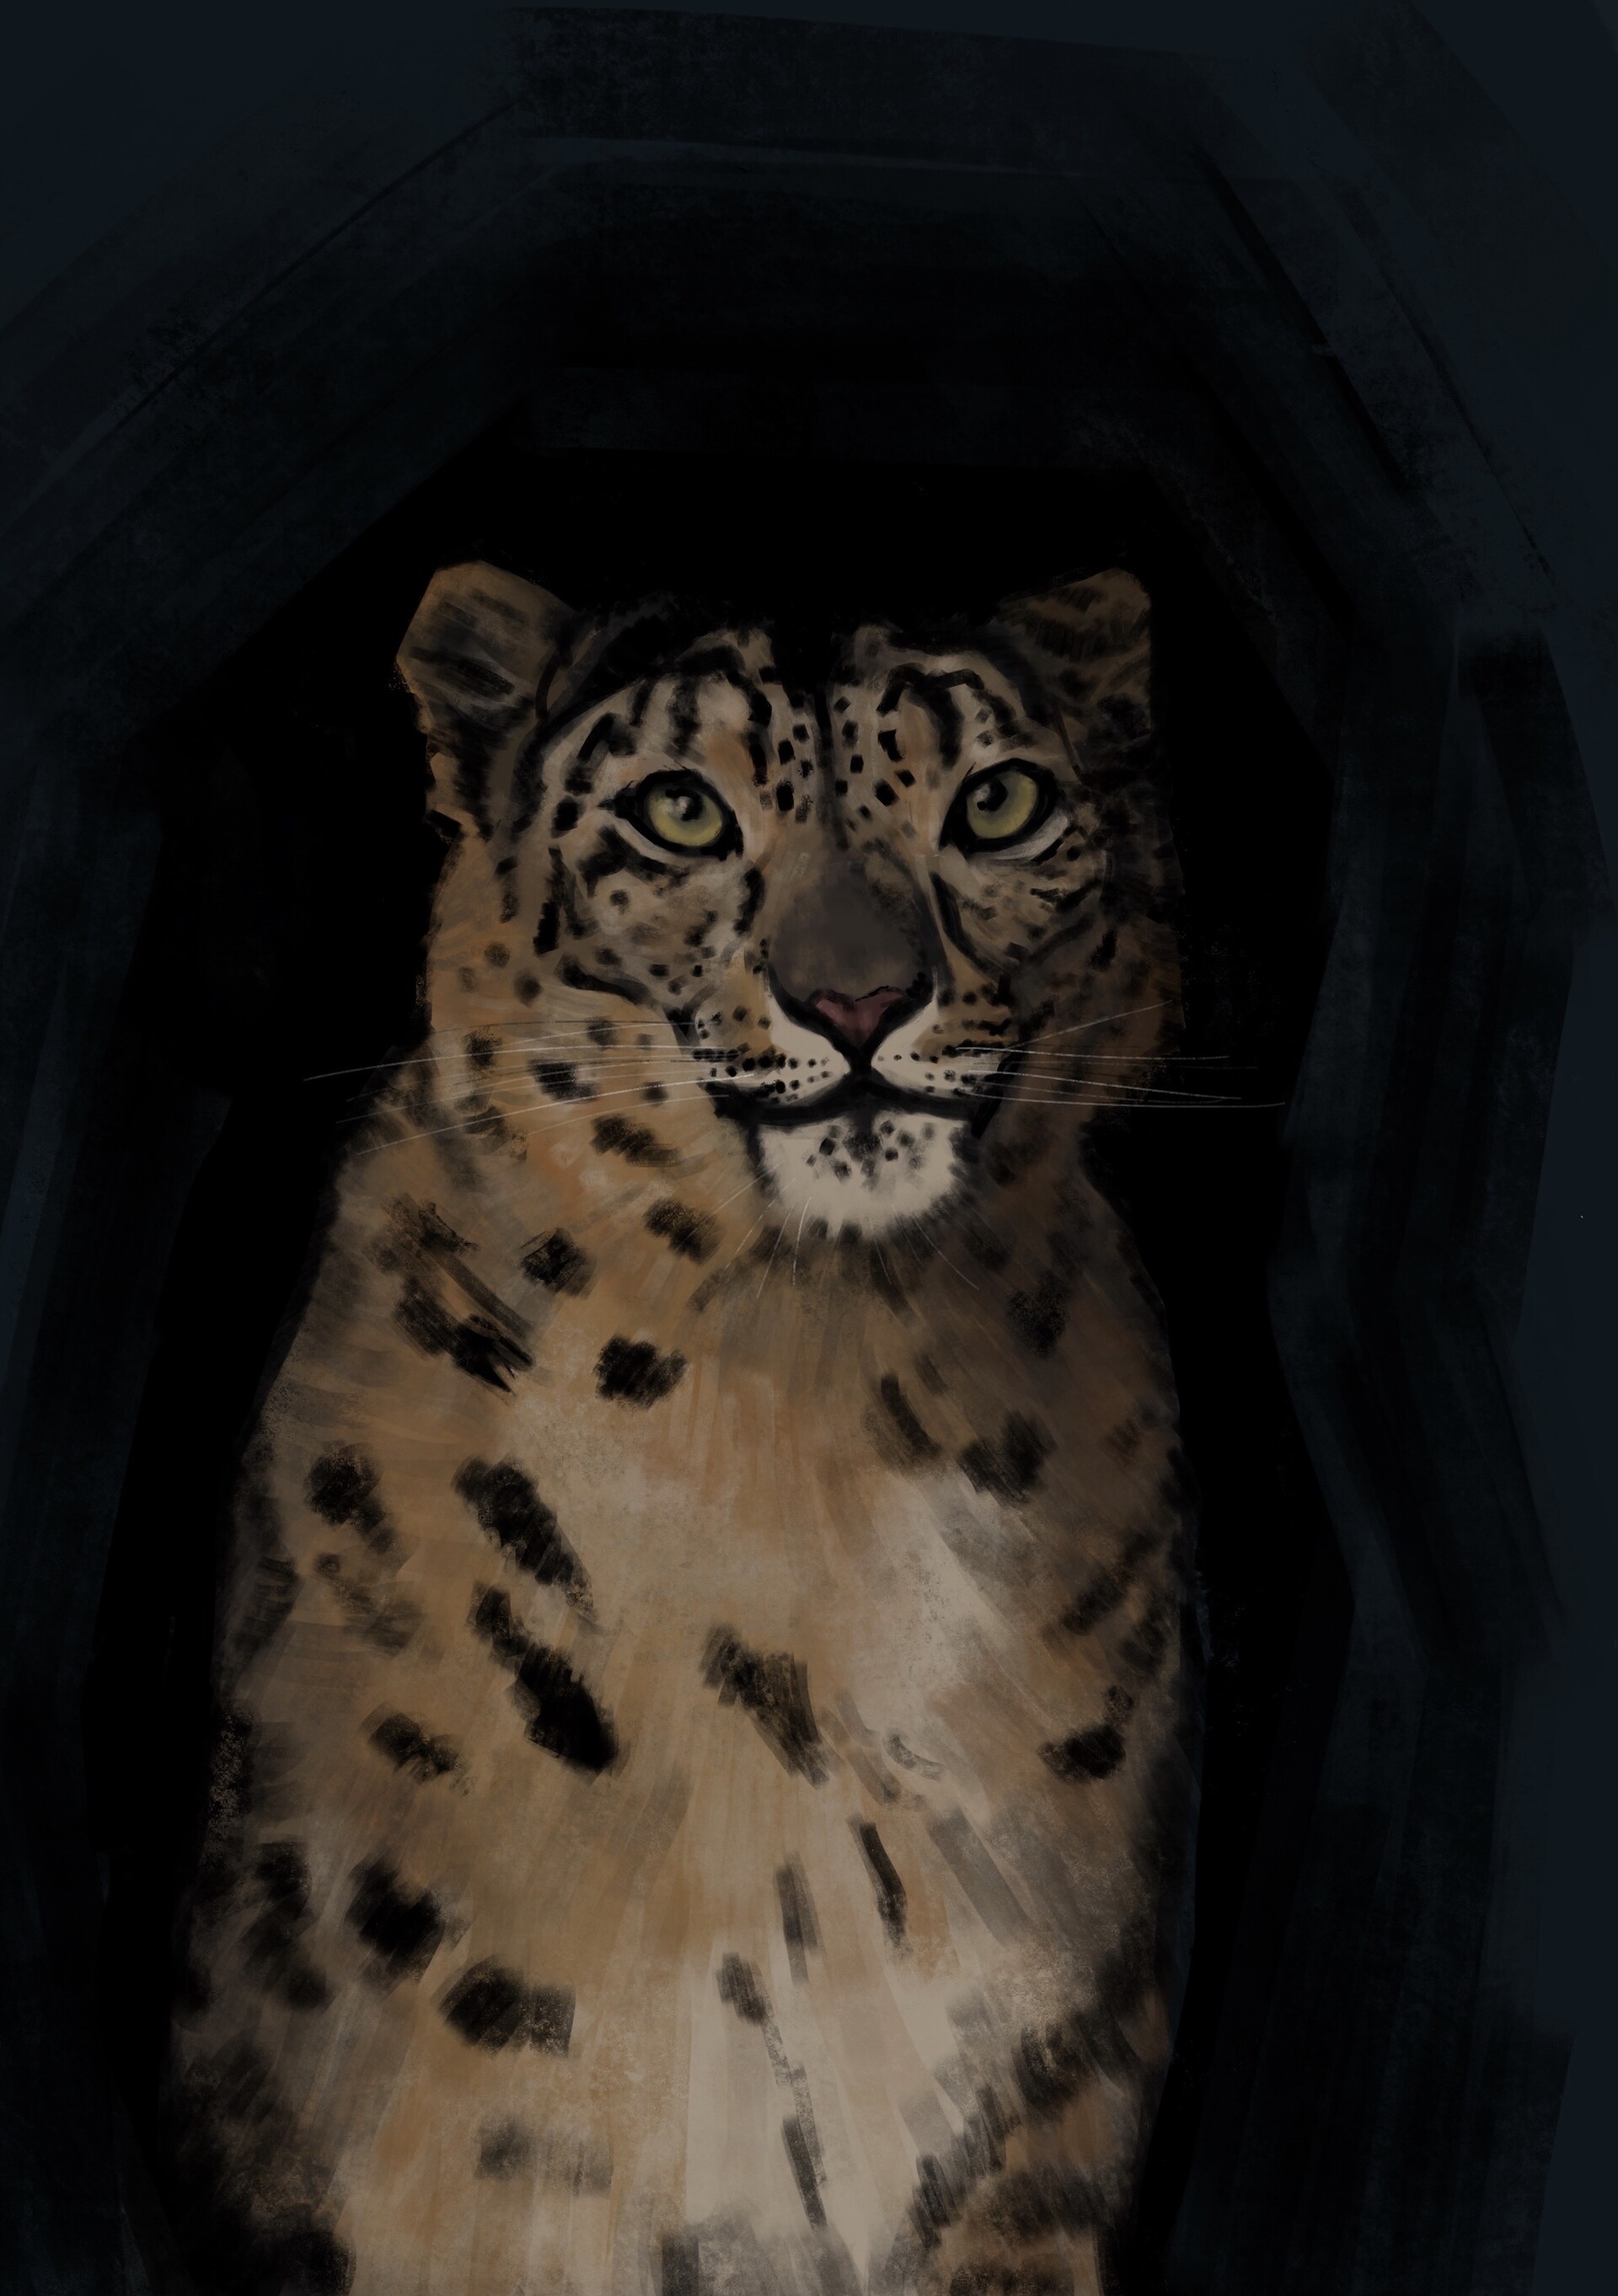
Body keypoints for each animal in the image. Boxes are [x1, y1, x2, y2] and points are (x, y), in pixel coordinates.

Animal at [165, 557, 1200, 2296]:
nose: (860, 997)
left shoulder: (1046, 2102)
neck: (823, 1400)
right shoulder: (473, 2144)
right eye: (679, 811)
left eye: (998, 803)